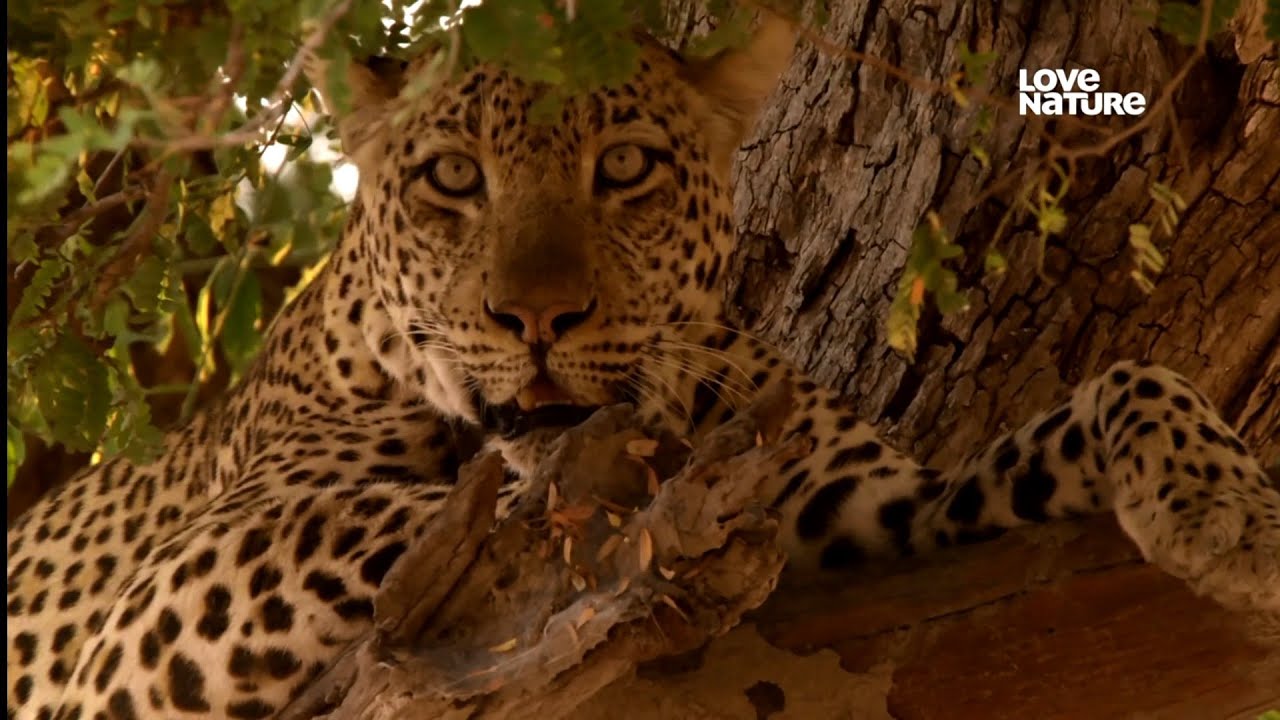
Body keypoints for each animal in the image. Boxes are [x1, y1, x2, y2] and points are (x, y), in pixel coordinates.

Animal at [8, 17, 1279, 720]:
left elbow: (1118, 387)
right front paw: (613, 541)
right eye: (453, 177)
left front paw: (1227, 510)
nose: (537, 317)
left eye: (622, 167)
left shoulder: (875, 508)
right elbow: (406, 512)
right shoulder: (145, 615)